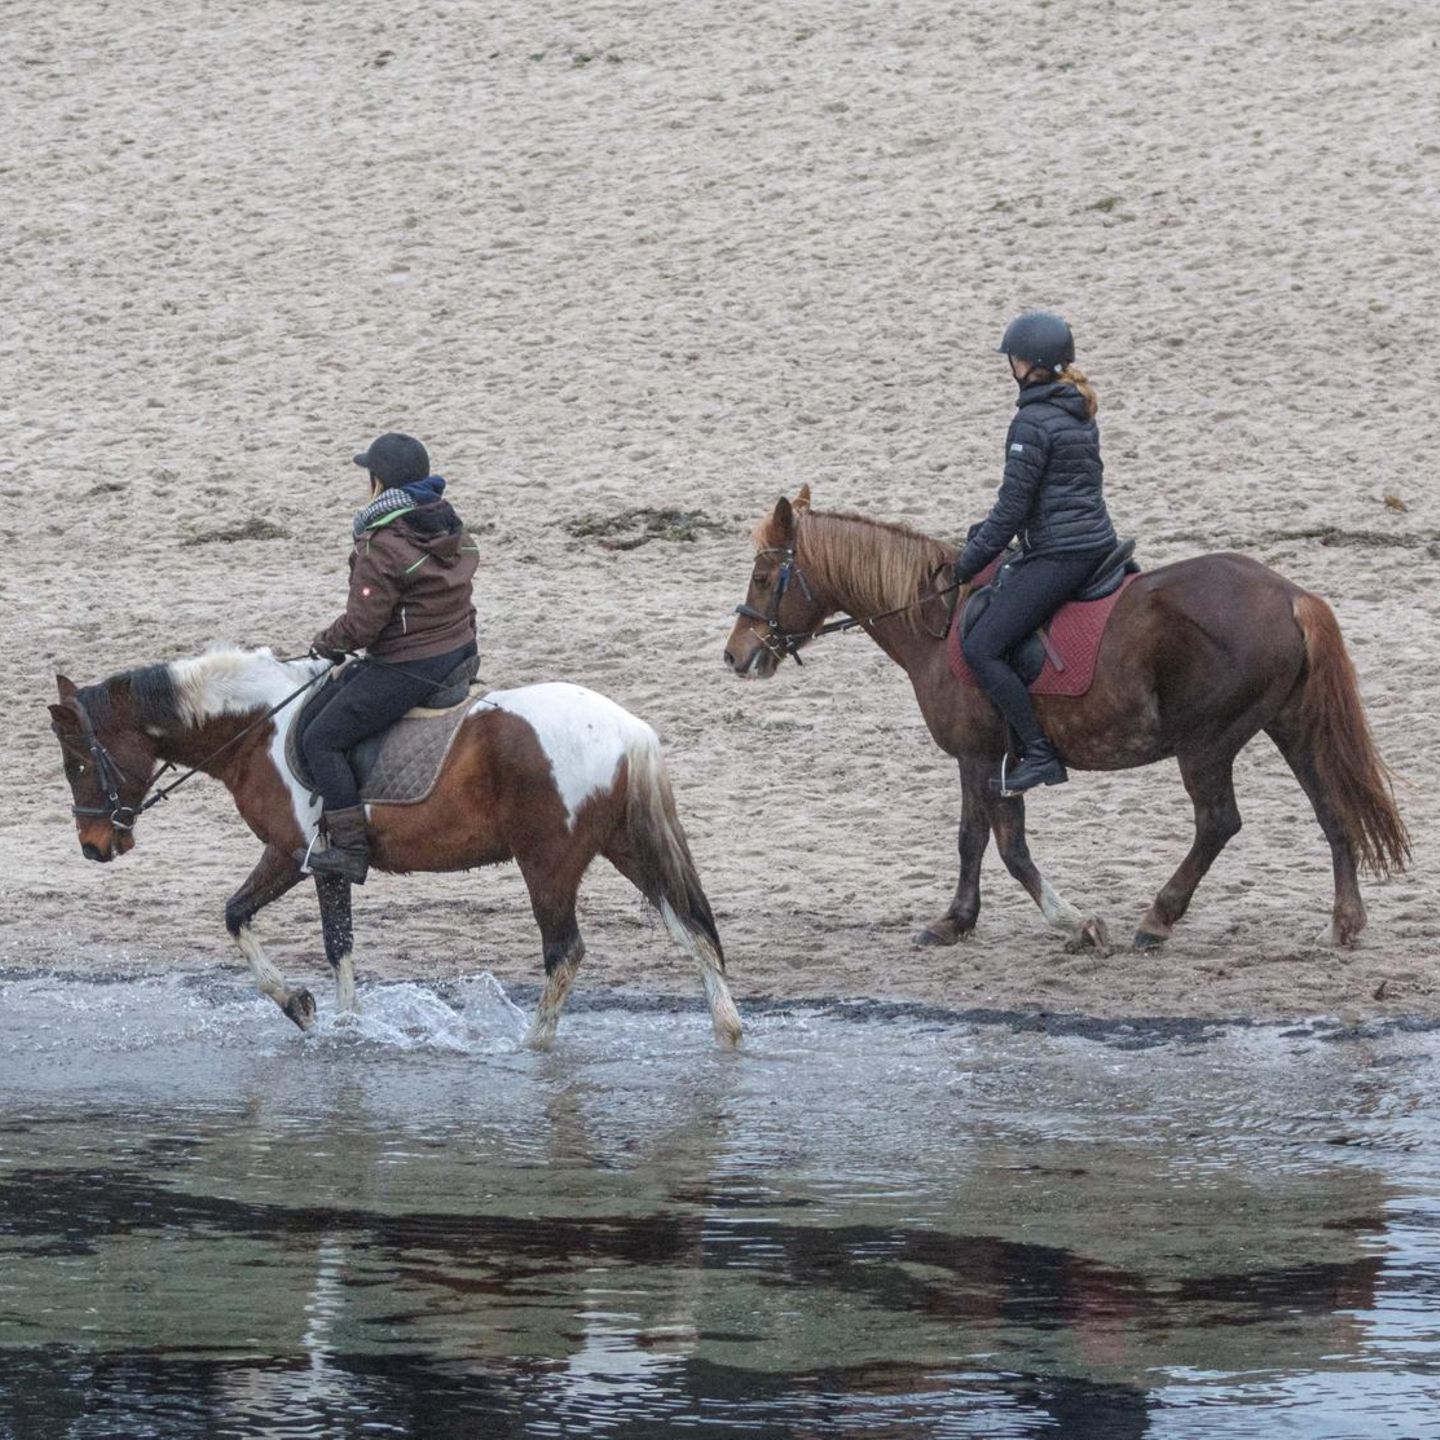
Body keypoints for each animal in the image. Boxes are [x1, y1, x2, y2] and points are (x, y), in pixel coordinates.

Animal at [47, 650, 743, 1048]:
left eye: (77, 762)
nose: (94, 846)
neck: (260, 728)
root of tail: (627, 729)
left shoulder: (297, 855)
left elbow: (285, 931)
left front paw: (319, 1017)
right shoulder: (309, 862)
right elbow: (300, 934)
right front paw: (327, 1019)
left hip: (547, 862)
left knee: (565, 954)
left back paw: (532, 1047)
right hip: (628, 849)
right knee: (690, 931)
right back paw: (728, 1033)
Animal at [720, 489, 1405, 950]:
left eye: (764, 576)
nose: (736, 655)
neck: (937, 622)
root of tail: (1290, 596)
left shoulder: (984, 757)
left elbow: (1007, 846)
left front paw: (1076, 923)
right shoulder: (980, 757)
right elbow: (972, 838)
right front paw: (956, 920)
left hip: (1206, 743)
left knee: (1218, 823)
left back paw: (1158, 918)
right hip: (1289, 727)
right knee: (1331, 811)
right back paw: (1344, 922)